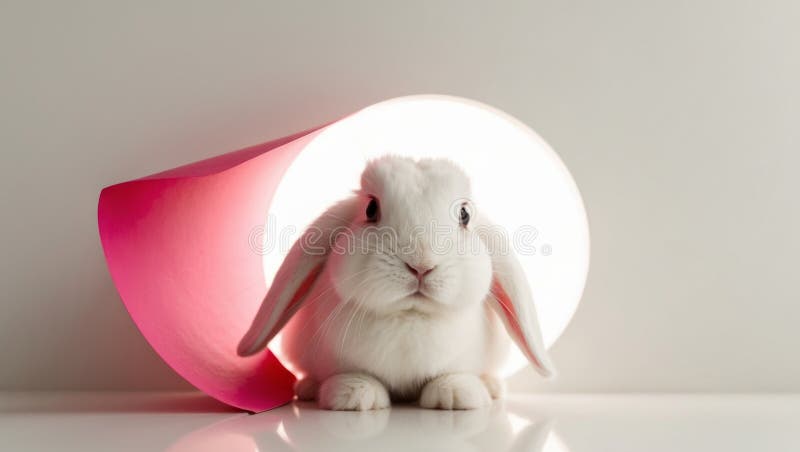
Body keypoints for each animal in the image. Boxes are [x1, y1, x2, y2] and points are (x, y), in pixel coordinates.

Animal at [238, 155, 555, 411]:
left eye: (464, 215)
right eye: (370, 209)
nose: (421, 266)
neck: (409, 316)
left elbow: (455, 373)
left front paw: (456, 395)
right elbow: (351, 374)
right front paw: (354, 395)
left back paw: (491, 386)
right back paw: (309, 388)